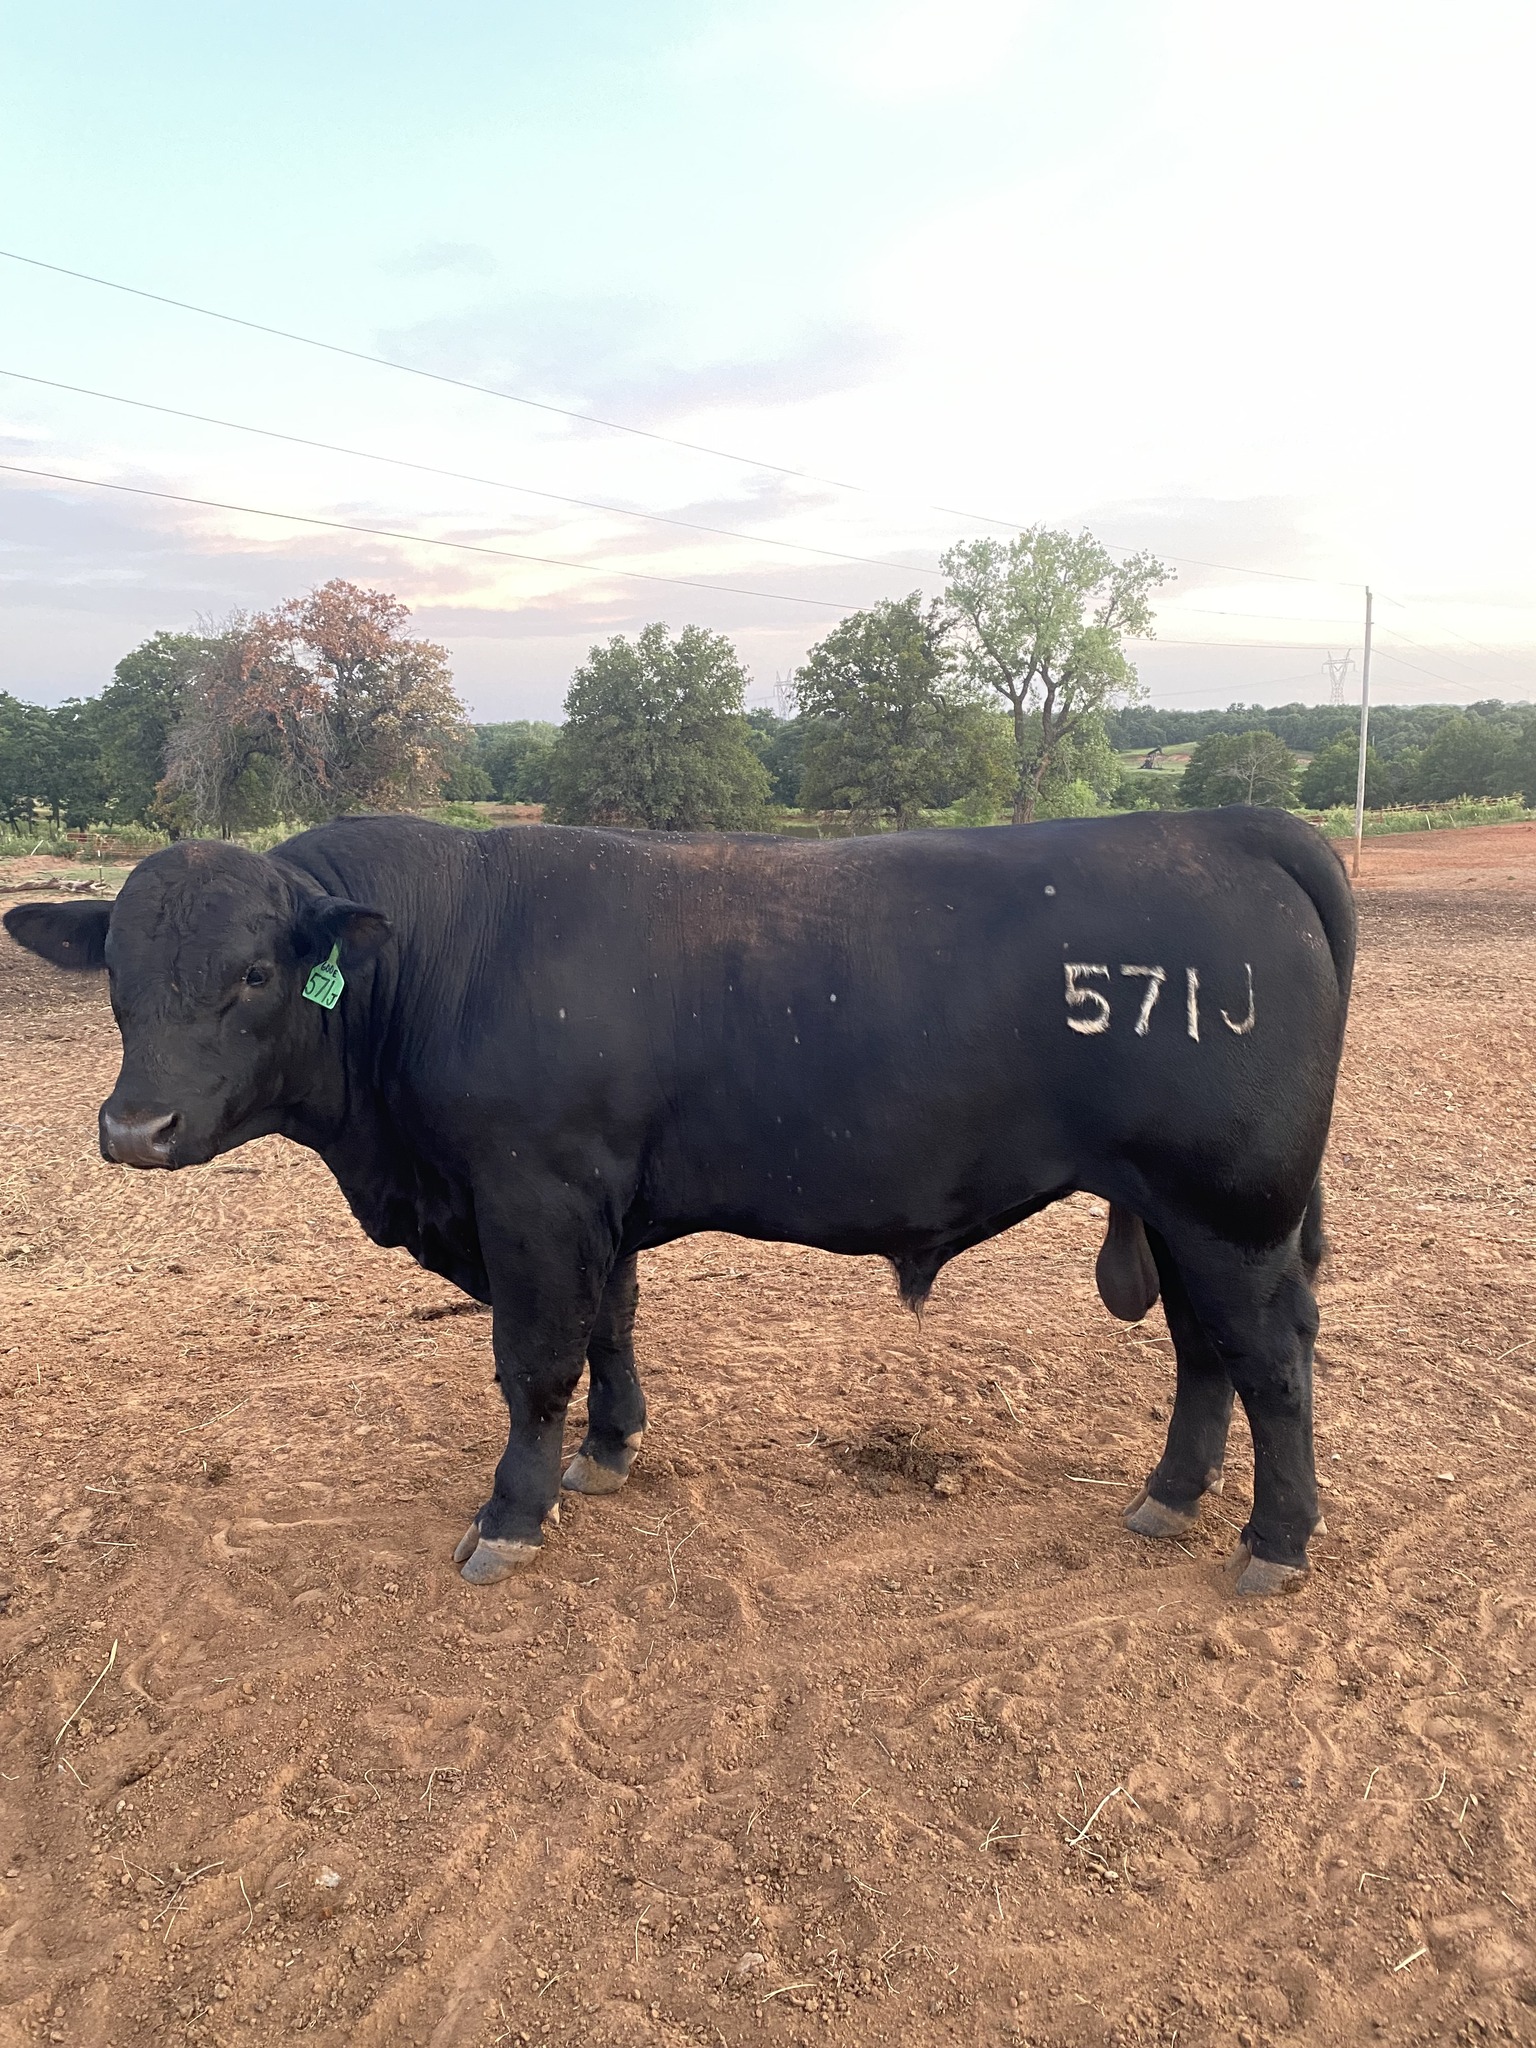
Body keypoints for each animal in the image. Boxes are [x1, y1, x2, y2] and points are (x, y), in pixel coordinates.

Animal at [4, 807, 1354, 1595]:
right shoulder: (593, 1201)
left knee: (1272, 1356)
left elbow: (534, 1360)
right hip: (1178, 1208)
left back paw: (1276, 1541)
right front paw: (609, 1450)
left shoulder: (534, 1195)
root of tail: (1227, 824)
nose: (134, 1128)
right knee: (1203, 1351)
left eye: (251, 973)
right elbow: (611, 1325)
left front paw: (513, 1512)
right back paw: (1169, 1496)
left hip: (1232, 1206)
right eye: (117, 973)